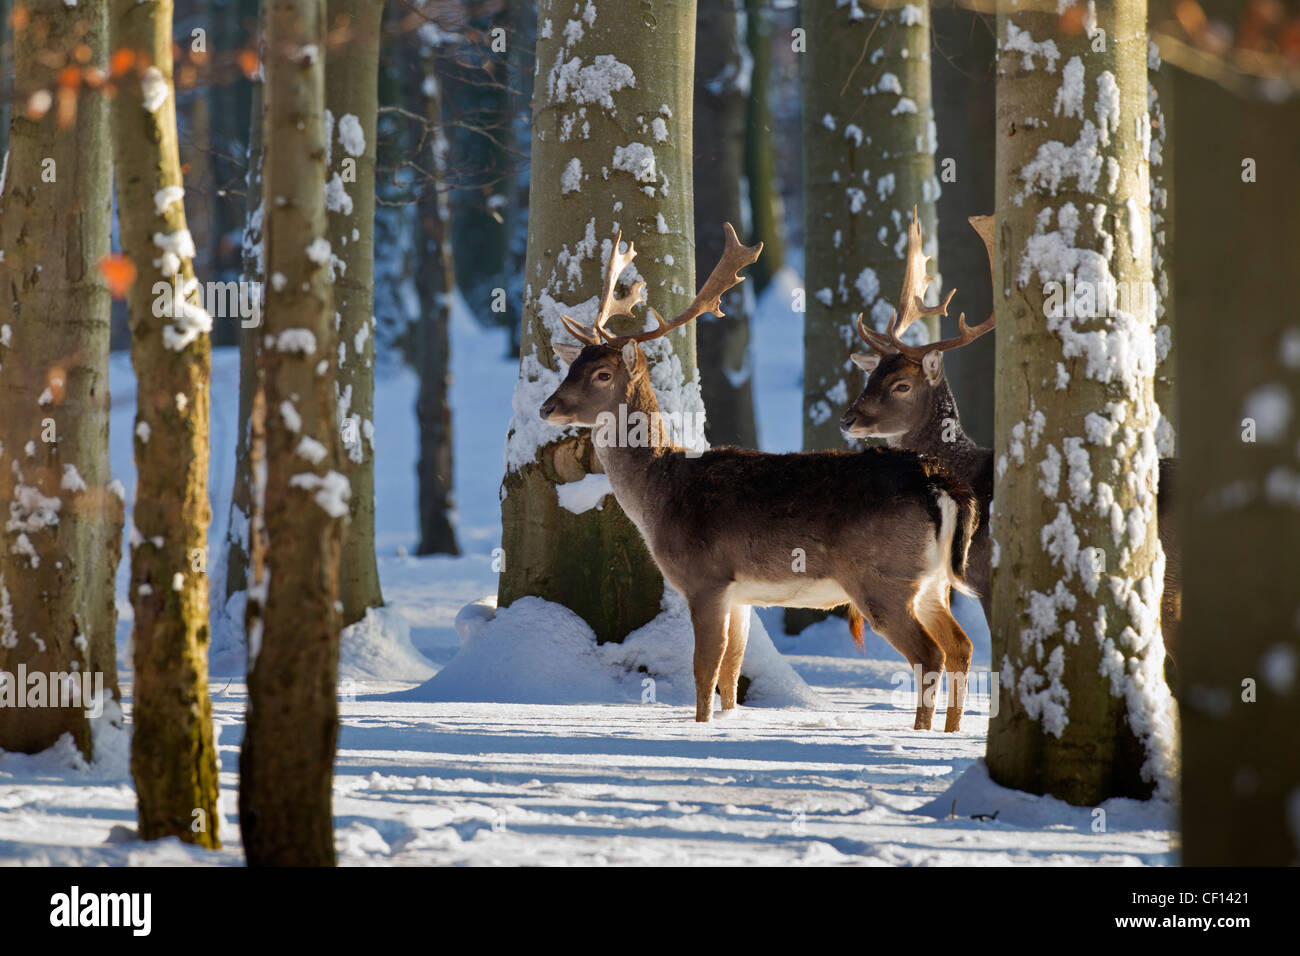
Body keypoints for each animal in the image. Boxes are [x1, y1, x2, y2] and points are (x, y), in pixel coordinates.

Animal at [541, 223, 981, 731]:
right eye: (571, 365)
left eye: (601, 373)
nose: (547, 407)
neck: (663, 495)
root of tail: (937, 482)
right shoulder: (741, 594)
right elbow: (731, 672)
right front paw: (729, 720)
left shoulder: (706, 578)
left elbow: (705, 667)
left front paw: (700, 728)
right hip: (934, 582)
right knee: (961, 645)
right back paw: (949, 732)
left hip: (883, 578)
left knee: (929, 654)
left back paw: (921, 733)